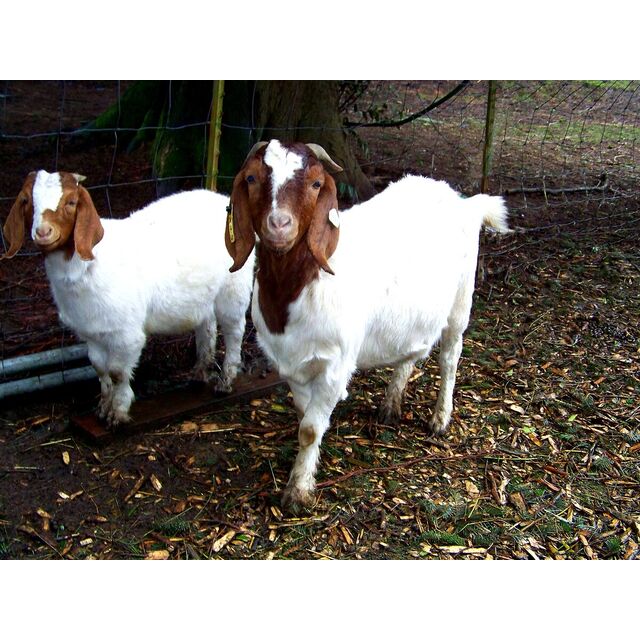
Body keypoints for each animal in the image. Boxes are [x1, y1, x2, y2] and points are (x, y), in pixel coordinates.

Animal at [2, 171, 254, 426]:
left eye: (71, 202)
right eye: (26, 201)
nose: (43, 232)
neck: (88, 263)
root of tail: (221, 199)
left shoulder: (126, 334)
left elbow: (117, 372)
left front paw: (118, 412)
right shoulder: (91, 331)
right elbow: (99, 368)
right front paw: (103, 407)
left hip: (234, 288)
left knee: (234, 331)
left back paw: (226, 380)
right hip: (203, 296)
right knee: (207, 326)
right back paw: (200, 371)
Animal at [225, 139, 510, 511]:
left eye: (316, 184)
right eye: (252, 178)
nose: (279, 224)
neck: (304, 282)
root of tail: (463, 202)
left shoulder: (335, 365)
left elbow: (309, 430)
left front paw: (298, 492)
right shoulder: (291, 364)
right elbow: (304, 415)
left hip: (460, 301)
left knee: (450, 357)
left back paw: (440, 418)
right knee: (409, 354)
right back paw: (391, 405)